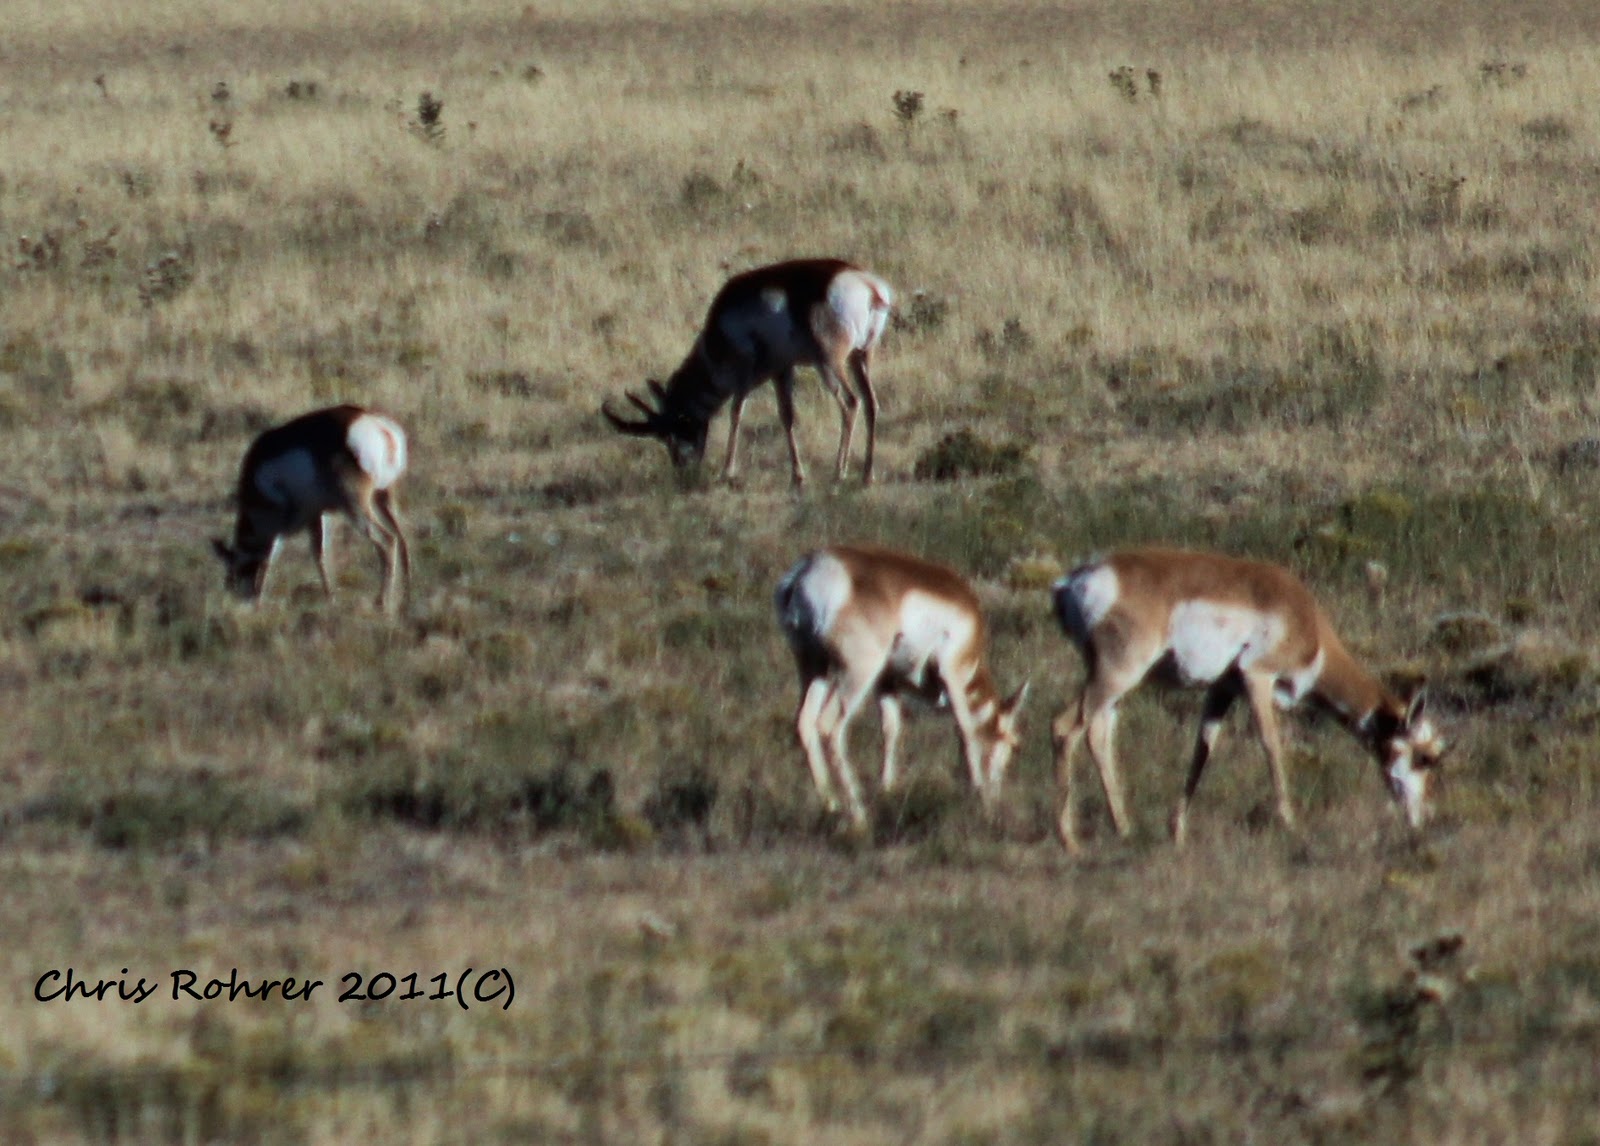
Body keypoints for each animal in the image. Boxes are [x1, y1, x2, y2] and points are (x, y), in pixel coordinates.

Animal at [211, 405, 411, 615]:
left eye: (234, 572)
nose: (239, 598)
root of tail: (377, 425)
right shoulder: (317, 516)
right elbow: (320, 554)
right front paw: (330, 597)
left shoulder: (278, 526)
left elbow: (269, 558)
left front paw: (259, 600)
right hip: (384, 498)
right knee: (402, 538)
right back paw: (406, 598)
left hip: (356, 507)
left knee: (387, 540)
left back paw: (382, 602)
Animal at [602, 258, 893, 487]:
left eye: (677, 426)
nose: (682, 468)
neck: (717, 334)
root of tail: (868, 285)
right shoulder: (782, 371)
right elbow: (787, 416)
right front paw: (797, 476)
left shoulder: (743, 373)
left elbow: (736, 412)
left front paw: (727, 472)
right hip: (861, 357)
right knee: (871, 403)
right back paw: (867, 476)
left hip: (830, 363)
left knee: (851, 403)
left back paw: (838, 473)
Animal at [775, 544, 1028, 830]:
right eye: (1012, 743)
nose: (997, 797)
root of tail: (810, 568)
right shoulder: (952, 675)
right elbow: (967, 730)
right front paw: (981, 800)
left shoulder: (887, 682)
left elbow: (891, 729)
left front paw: (888, 789)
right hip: (857, 673)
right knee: (829, 726)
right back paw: (859, 815)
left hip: (813, 667)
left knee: (805, 722)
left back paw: (831, 805)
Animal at [1050, 547, 1445, 852]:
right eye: (1424, 757)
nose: (1422, 819)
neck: (1307, 624)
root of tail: (1076, 579)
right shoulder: (1258, 677)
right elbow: (1271, 744)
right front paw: (1289, 822)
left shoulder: (1221, 692)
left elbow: (1202, 751)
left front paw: (1177, 830)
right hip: (1117, 674)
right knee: (1063, 728)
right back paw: (1069, 841)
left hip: (1112, 685)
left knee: (1098, 735)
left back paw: (1124, 829)